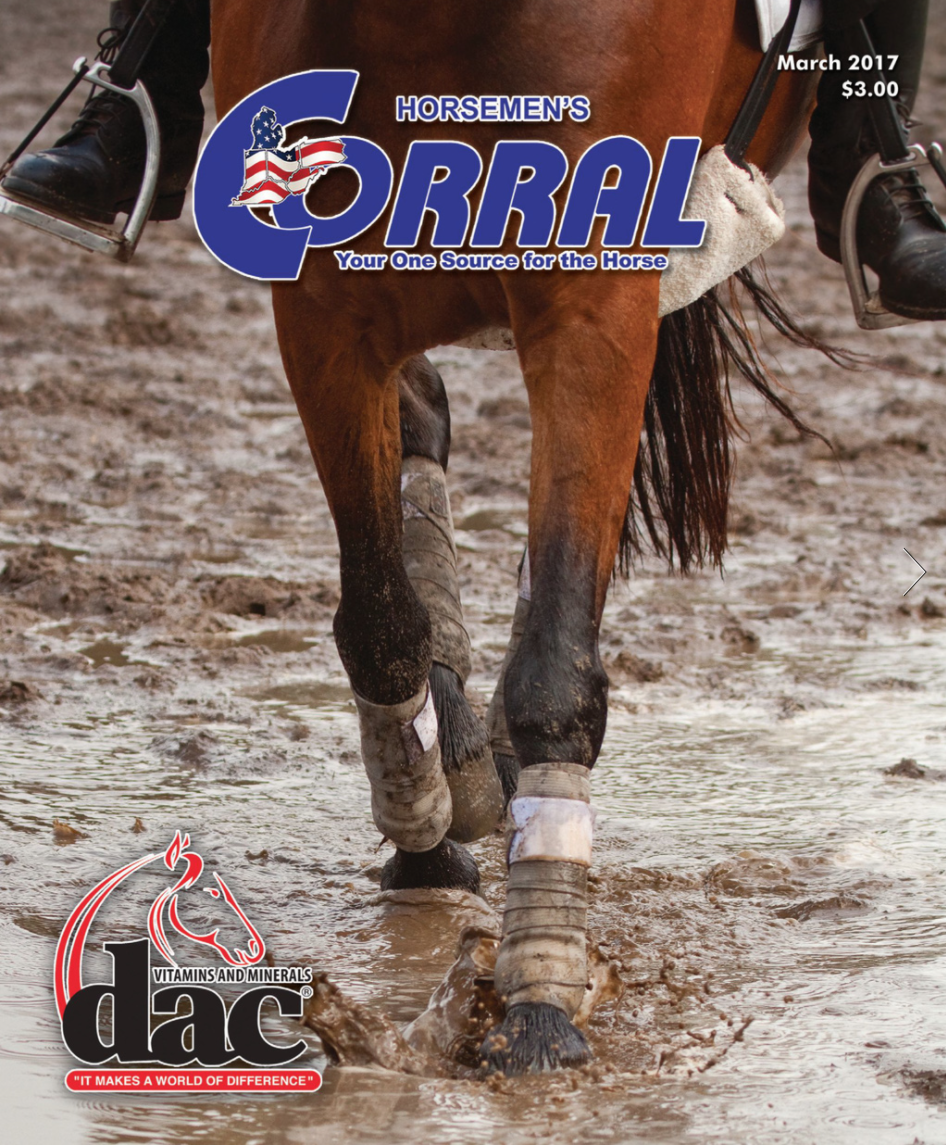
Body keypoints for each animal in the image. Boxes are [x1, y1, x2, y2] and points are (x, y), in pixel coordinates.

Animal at [209, 0, 823, 1076]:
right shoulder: (323, 304)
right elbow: (380, 618)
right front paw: (423, 829)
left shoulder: (596, 296)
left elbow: (556, 663)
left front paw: (539, 991)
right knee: (424, 425)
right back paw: (456, 746)